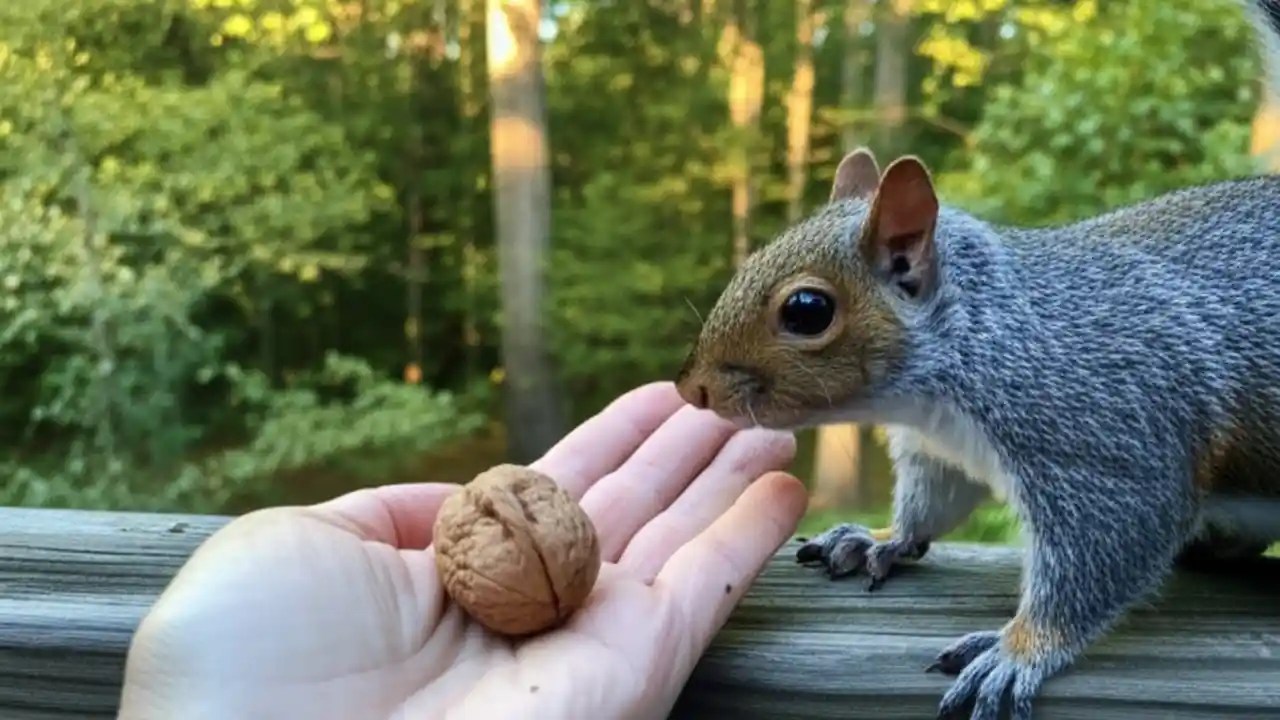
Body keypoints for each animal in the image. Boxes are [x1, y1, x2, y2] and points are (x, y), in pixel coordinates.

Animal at [673, 1, 1280, 719]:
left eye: (807, 310)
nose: (691, 389)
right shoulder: (939, 449)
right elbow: (932, 504)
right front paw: (882, 538)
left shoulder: (1107, 442)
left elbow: (1104, 550)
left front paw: (1018, 650)